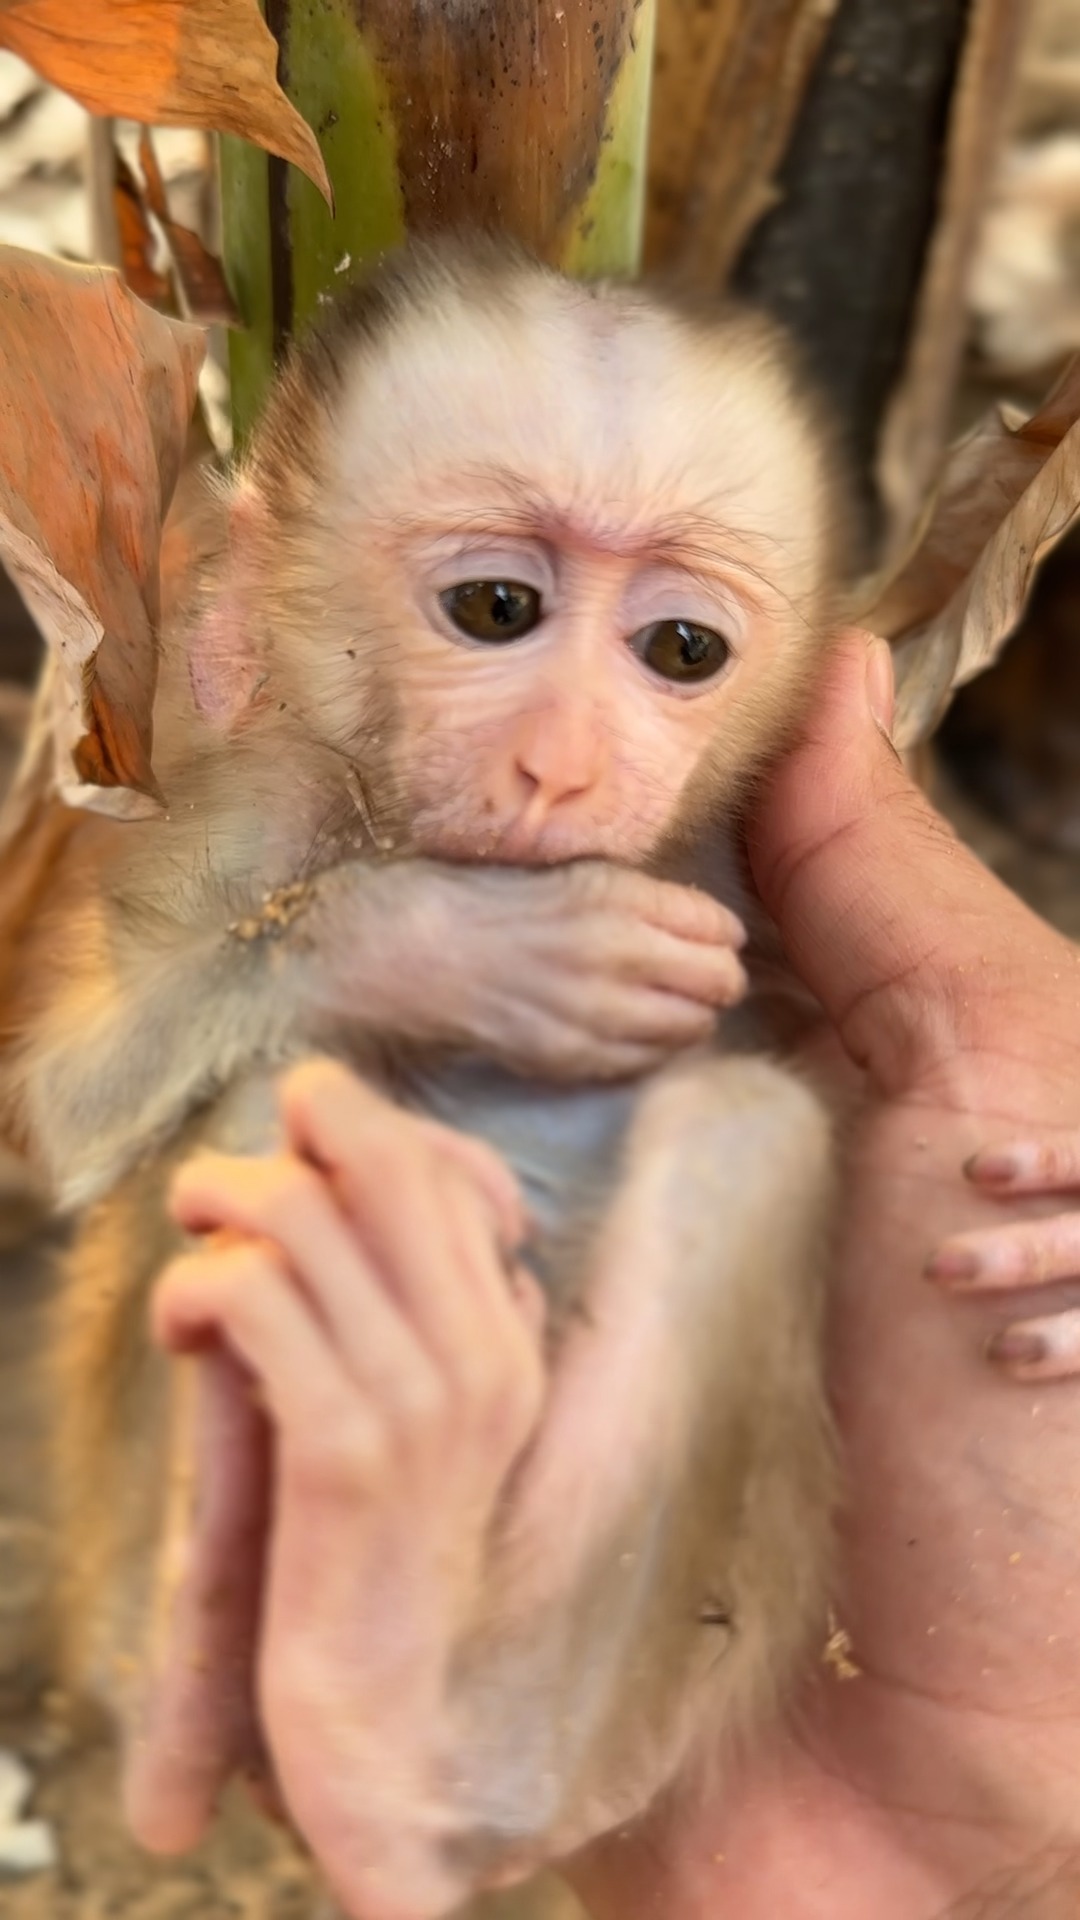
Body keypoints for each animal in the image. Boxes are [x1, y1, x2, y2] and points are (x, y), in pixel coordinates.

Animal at [5, 240, 853, 1917]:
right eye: (496, 608)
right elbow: (67, 1113)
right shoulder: (254, 808)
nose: (567, 768)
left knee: (743, 1137)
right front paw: (466, 947)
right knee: (258, 1111)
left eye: (683, 651)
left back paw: (416, 1732)